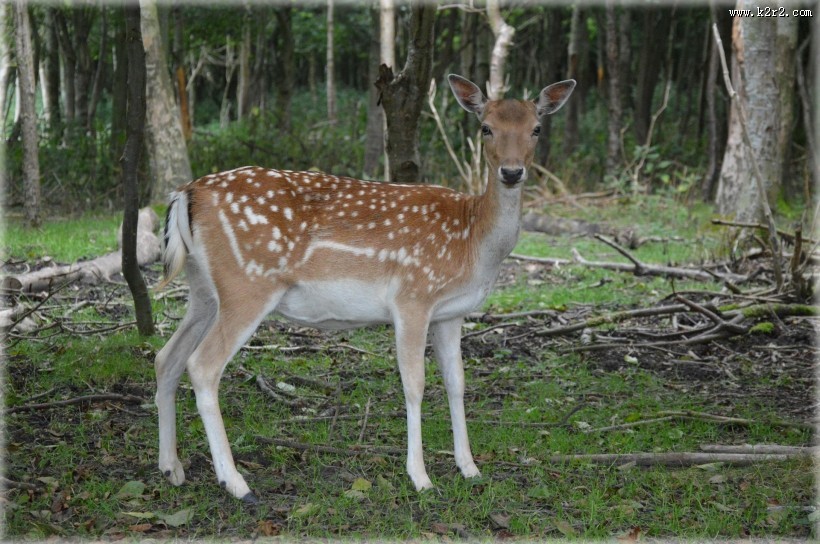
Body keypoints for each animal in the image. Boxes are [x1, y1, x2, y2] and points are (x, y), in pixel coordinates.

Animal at [154, 74, 575, 503]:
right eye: (485, 127)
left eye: (536, 128)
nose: (511, 172)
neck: (472, 241)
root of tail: (185, 193)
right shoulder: (413, 296)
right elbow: (414, 384)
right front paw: (420, 477)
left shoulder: (451, 313)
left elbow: (457, 382)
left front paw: (470, 468)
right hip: (247, 283)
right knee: (202, 366)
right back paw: (237, 483)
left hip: (203, 289)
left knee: (166, 357)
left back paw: (172, 467)